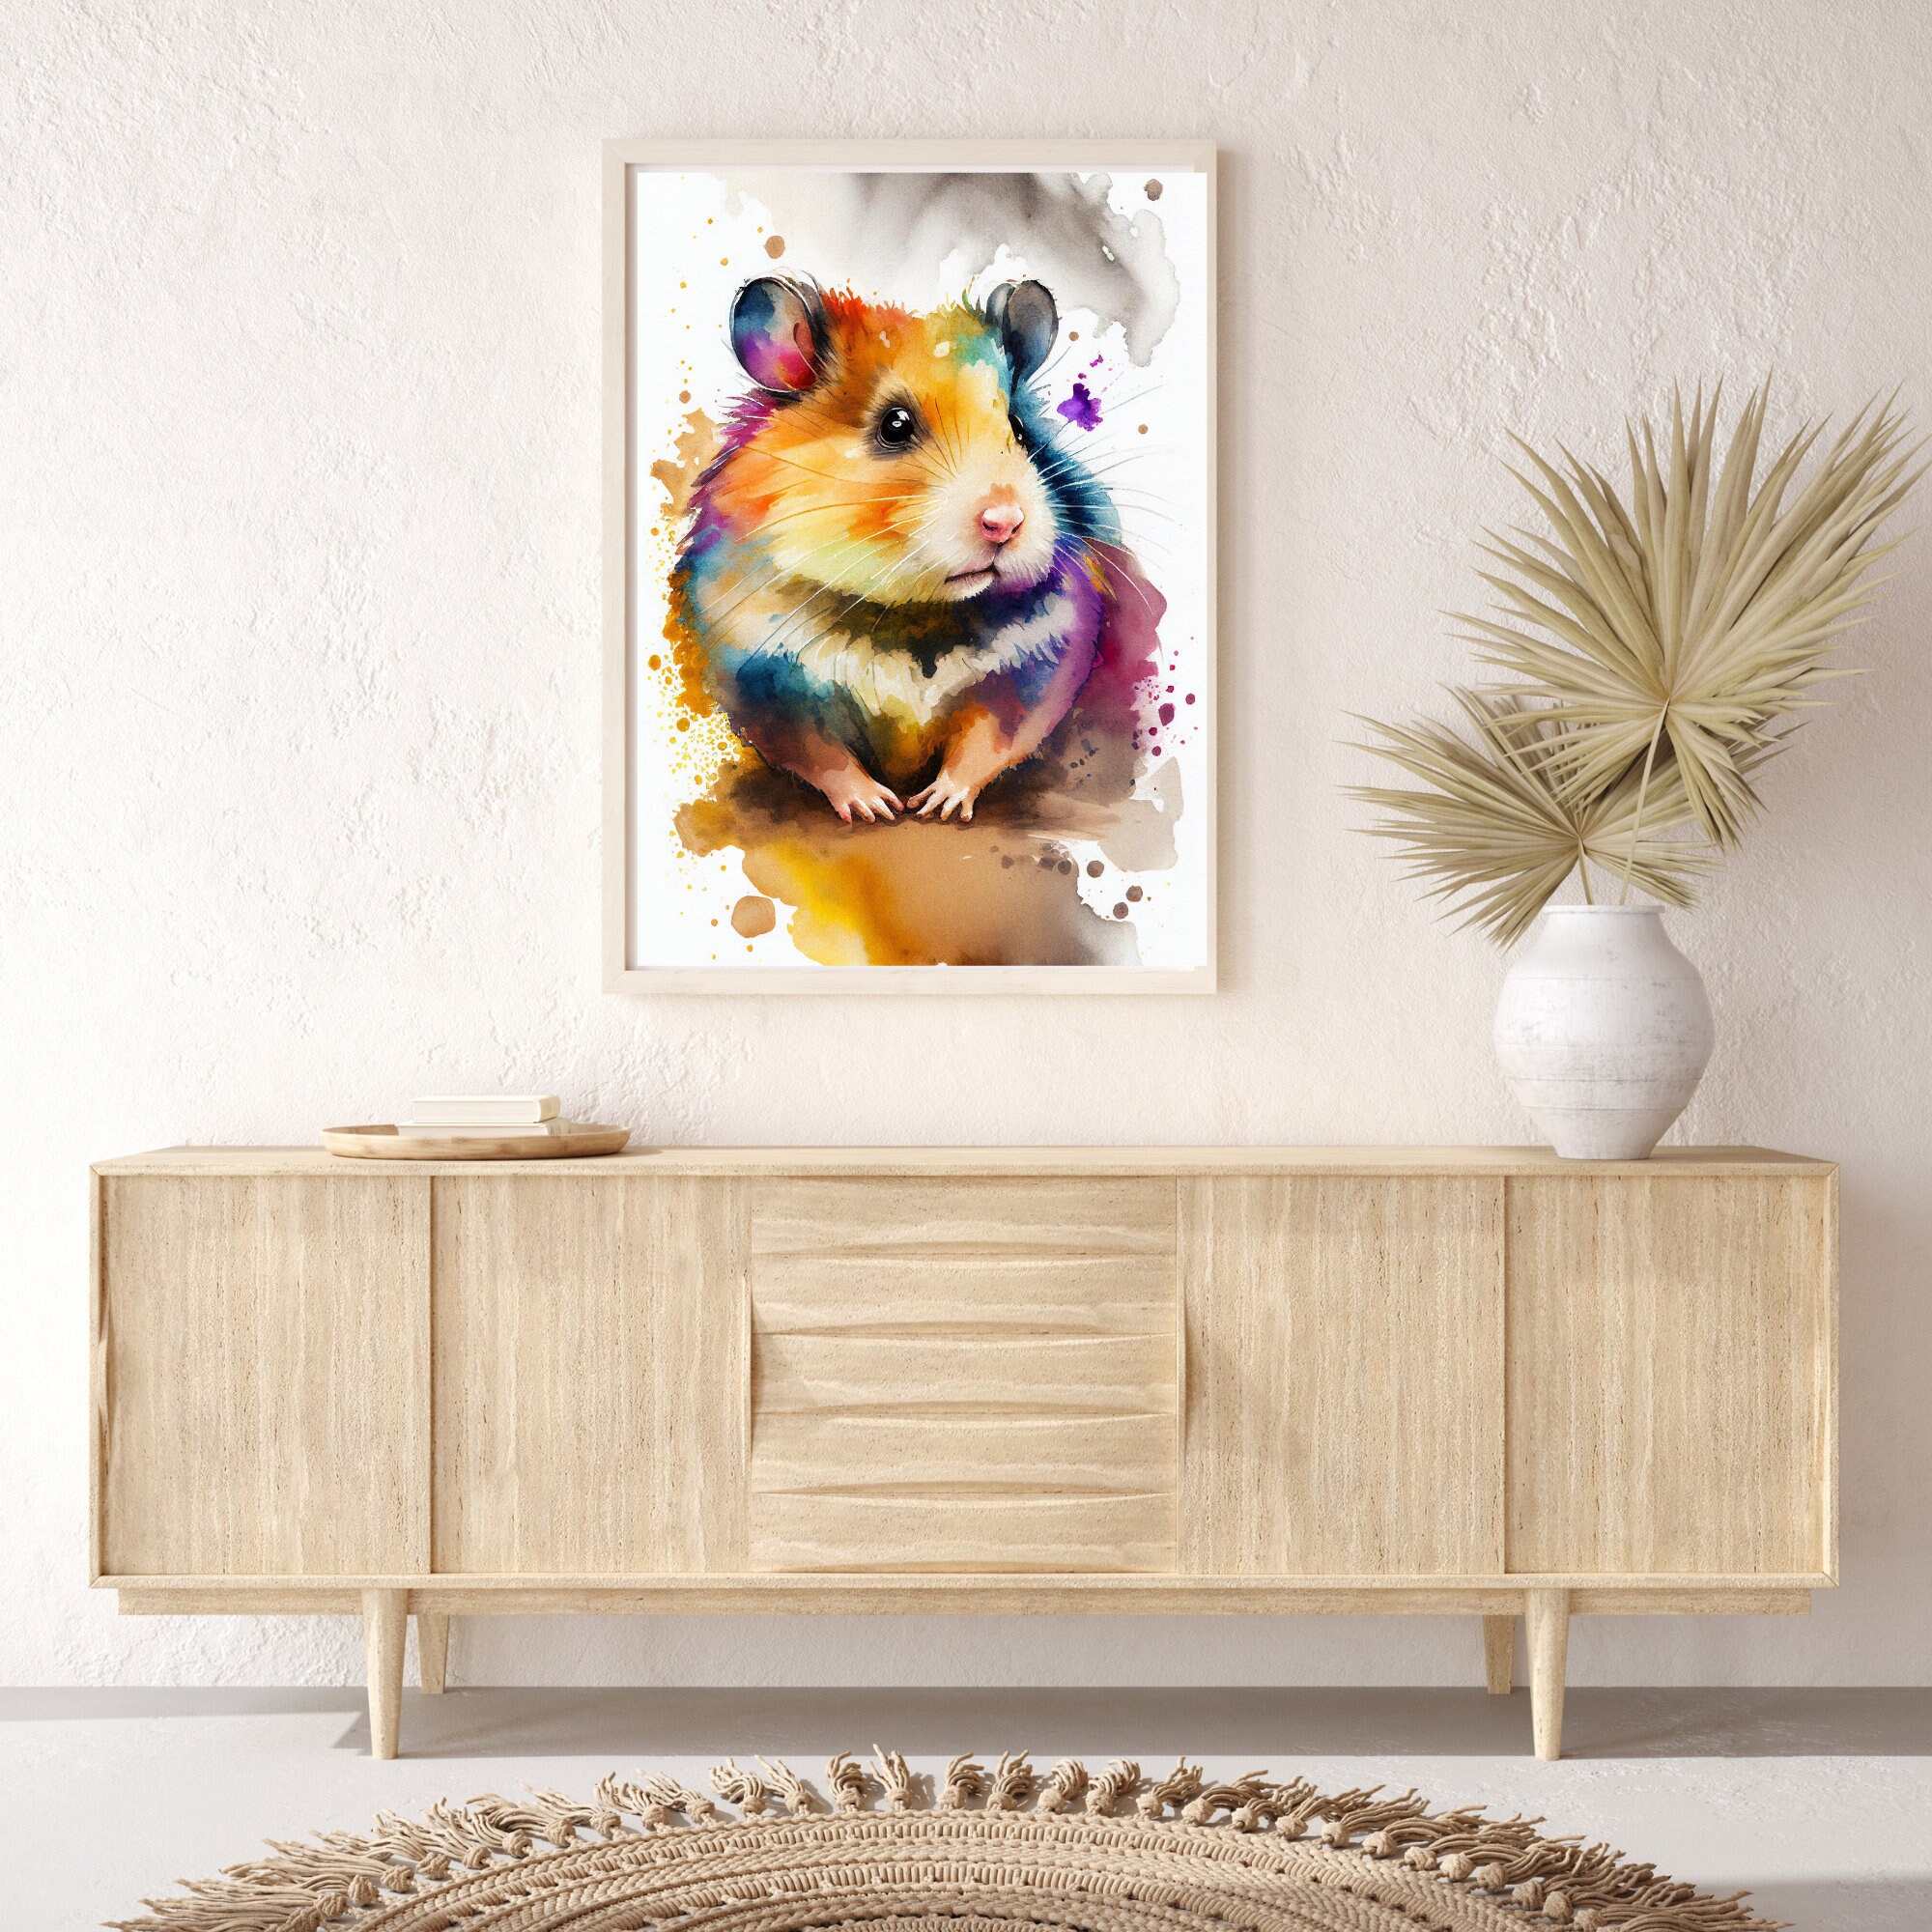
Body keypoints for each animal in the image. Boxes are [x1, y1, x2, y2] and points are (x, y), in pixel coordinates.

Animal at [668, 275, 1125, 823]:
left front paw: (936, 807)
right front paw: (878, 808)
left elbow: (985, 745)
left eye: (1018, 428)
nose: (1006, 522)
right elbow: (822, 754)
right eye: (895, 425)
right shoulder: (766, 683)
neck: (912, 617)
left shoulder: (1033, 673)